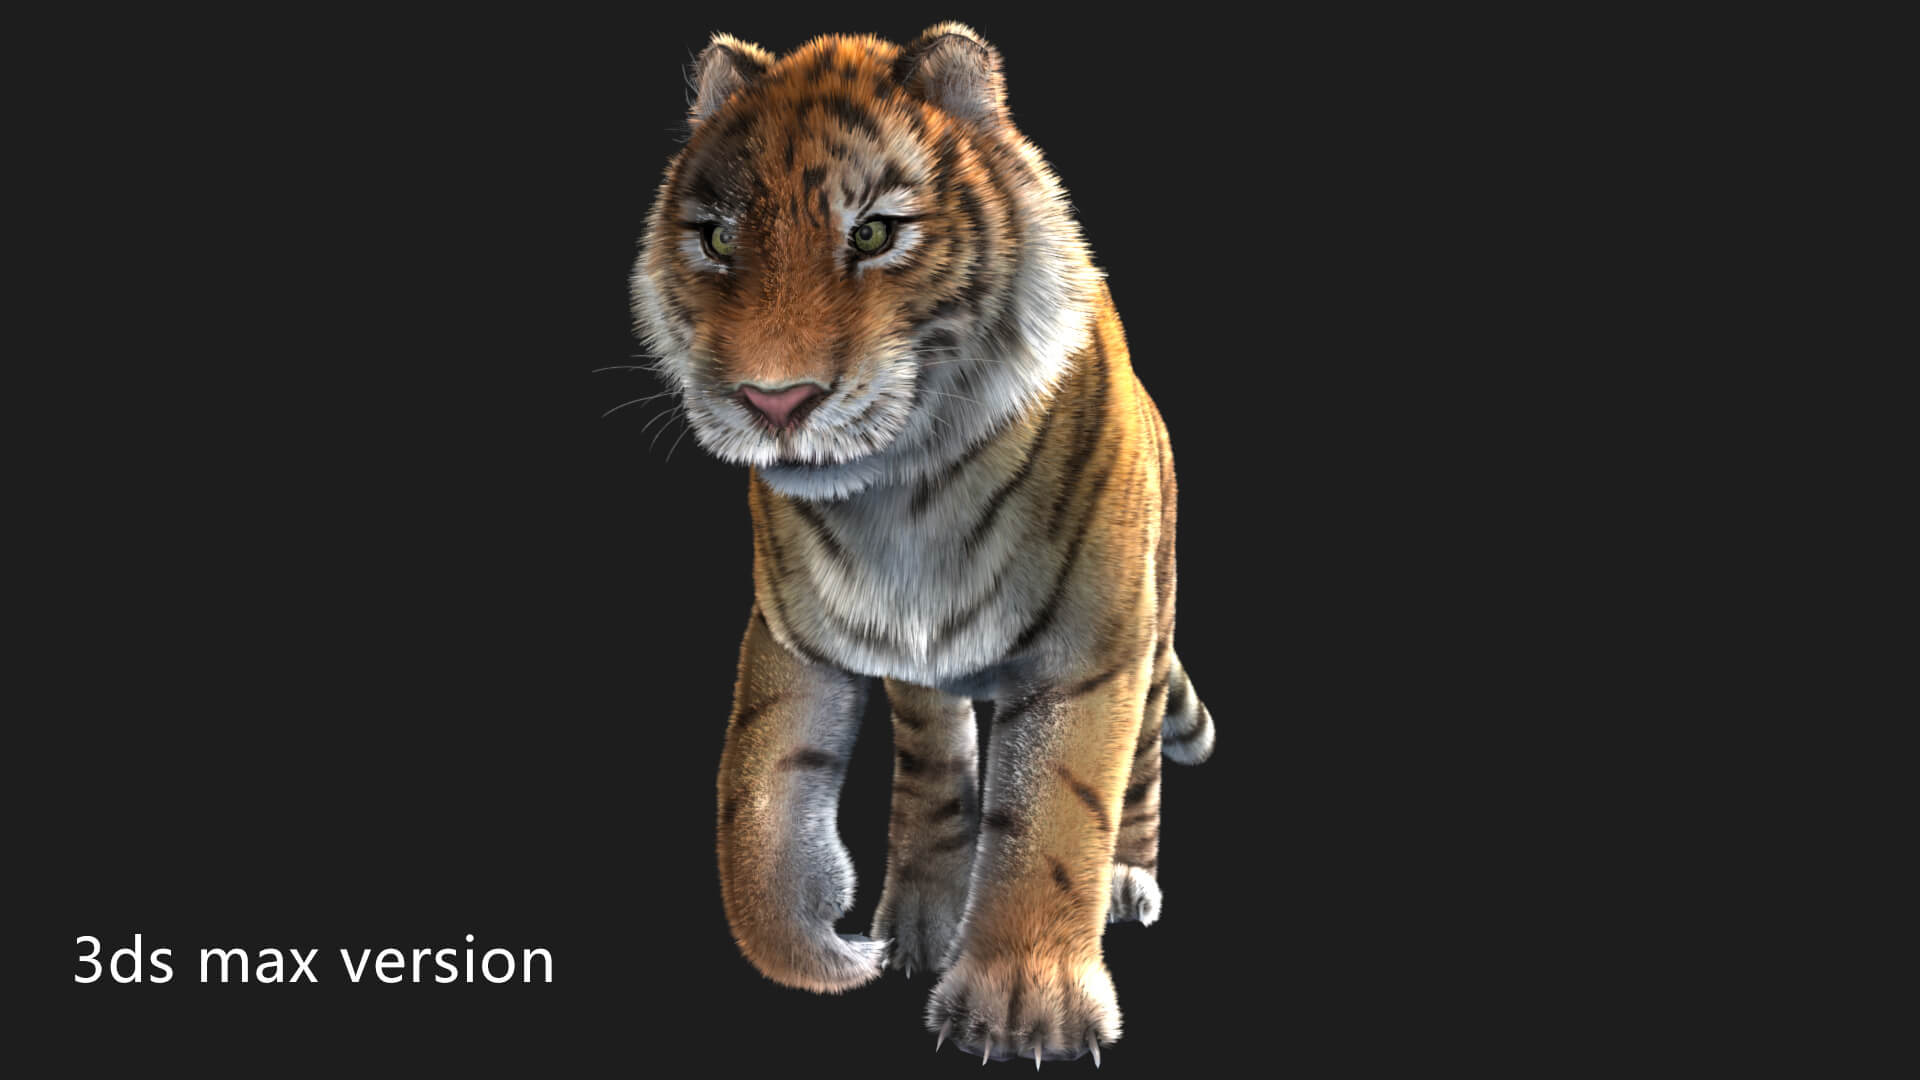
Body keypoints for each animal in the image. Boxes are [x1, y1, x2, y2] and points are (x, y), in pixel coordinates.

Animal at [629, 23, 1216, 1064]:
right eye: (719, 239)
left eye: (872, 234)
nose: (774, 401)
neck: (898, 498)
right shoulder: (796, 628)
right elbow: (760, 789)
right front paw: (821, 949)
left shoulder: (1089, 648)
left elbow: (1054, 814)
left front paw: (1023, 1007)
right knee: (936, 760)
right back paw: (922, 918)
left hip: (1151, 626)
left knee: (1141, 766)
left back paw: (1126, 879)